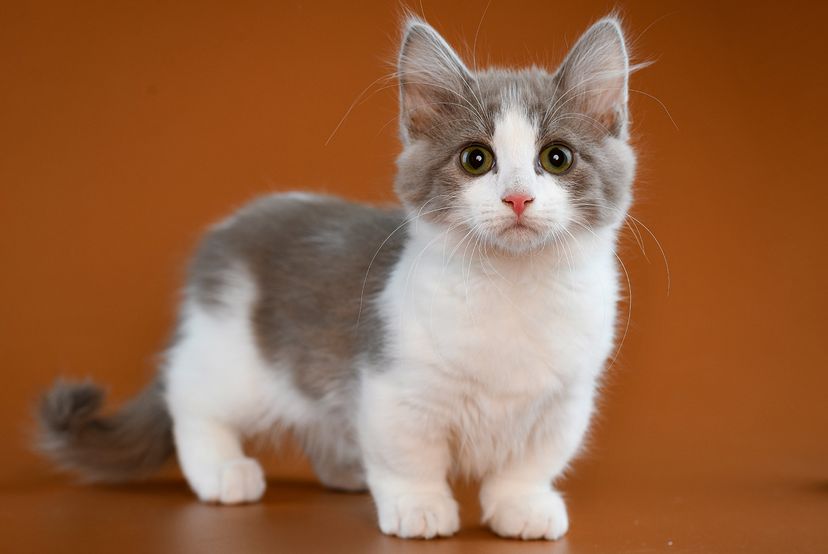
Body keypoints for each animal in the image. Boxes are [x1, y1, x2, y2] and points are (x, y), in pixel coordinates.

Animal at [35, 15, 636, 536]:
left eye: (556, 158)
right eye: (476, 159)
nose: (517, 197)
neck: (514, 288)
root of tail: (227, 233)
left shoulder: (562, 401)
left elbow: (530, 463)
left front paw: (523, 507)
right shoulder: (393, 384)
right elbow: (409, 455)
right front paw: (419, 507)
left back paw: (346, 468)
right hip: (233, 354)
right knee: (188, 395)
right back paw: (222, 471)